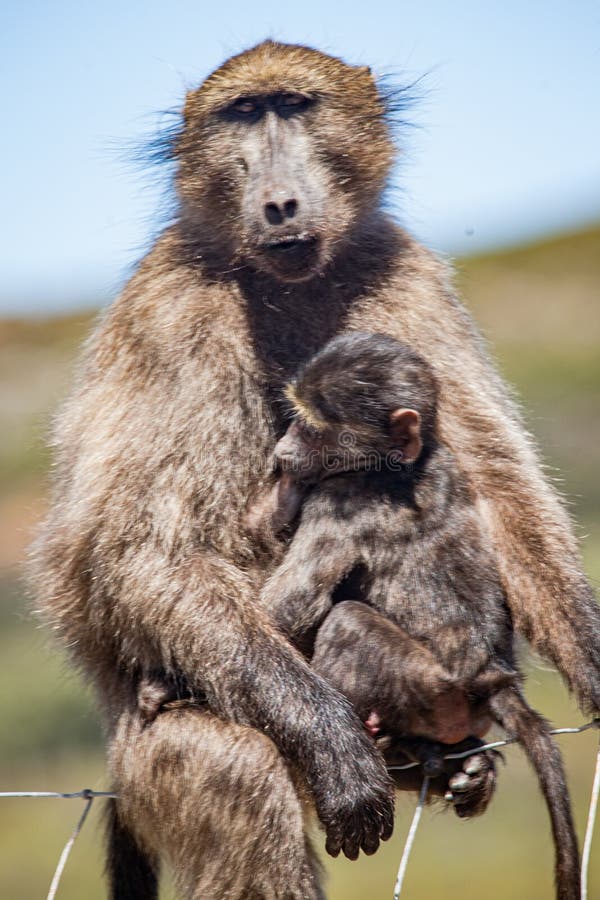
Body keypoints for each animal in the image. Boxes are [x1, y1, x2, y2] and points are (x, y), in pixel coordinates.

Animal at [255, 331, 580, 899]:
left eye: (312, 427)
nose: (283, 454)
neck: (410, 461)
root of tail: (493, 677)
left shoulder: (340, 499)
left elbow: (289, 610)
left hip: (426, 684)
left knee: (347, 622)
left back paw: (390, 749)